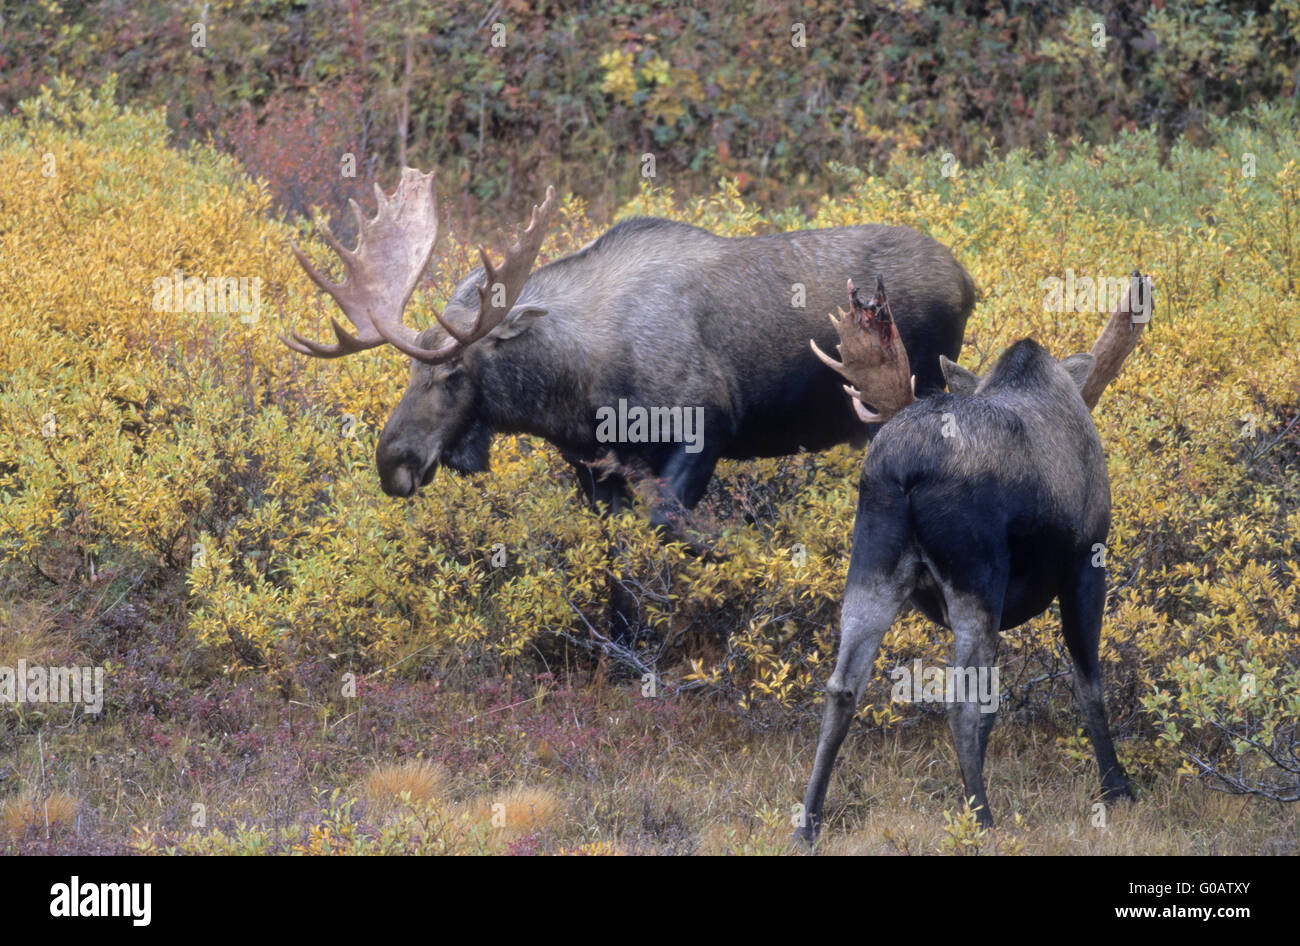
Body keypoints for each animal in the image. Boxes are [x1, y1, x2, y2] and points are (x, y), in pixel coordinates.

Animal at [280, 168, 976, 642]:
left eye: (453, 372)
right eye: (409, 369)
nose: (392, 462)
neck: (579, 386)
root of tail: (968, 279)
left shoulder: (707, 426)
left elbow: (669, 525)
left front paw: (746, 560)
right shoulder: (592, 466)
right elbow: (613, 562)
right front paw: (624, 646)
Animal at [798, 272, 1152, 842]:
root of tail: (906, 469)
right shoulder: (1086, 563)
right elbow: (1087, 684)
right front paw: (1116, 788)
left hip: (871, 562)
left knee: (841, 688)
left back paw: (807, 823)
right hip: (976, 577)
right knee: (960, 701)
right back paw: (981, 817)